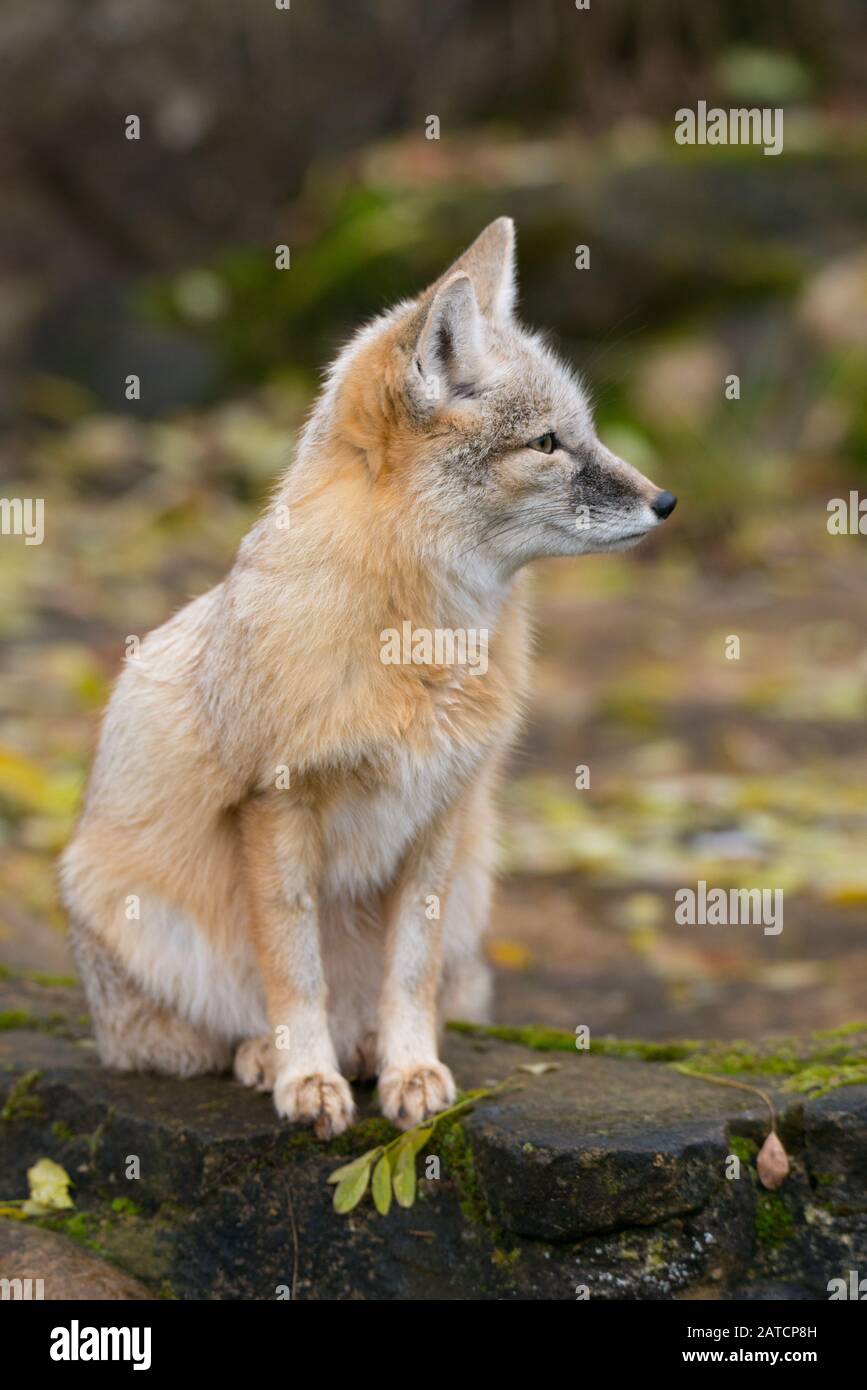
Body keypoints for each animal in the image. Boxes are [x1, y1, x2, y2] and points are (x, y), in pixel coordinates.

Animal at [60, 218, 677, 1139]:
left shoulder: (440, 811)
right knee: (207, 1034)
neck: (417, 649)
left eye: (587, 433)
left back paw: (364, 1051)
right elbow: (295, 970)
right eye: (546, 444)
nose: (667, 501)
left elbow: (408, 975)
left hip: (473, 881)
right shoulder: (275, 806)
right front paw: (304, 1076)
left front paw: (408, 1068)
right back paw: (267, 1054)